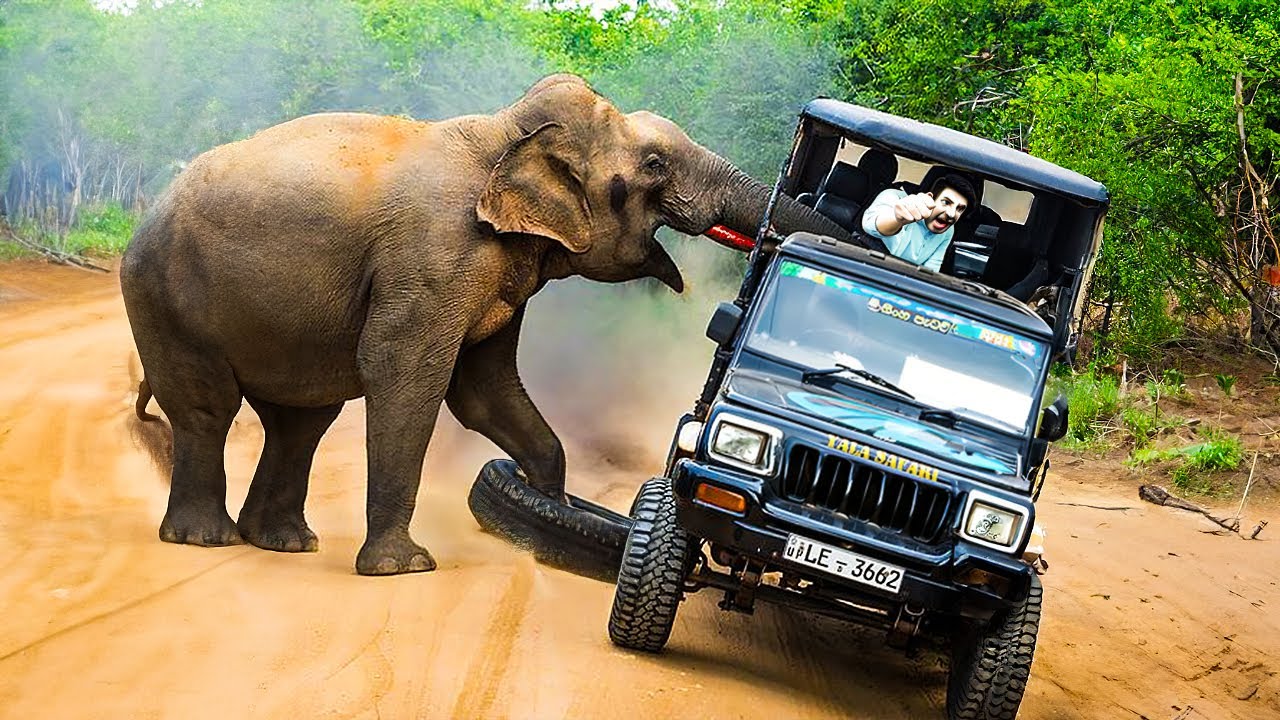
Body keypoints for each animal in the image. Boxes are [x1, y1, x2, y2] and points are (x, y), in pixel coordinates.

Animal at [120, 73, 862, 576]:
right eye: (653, 166)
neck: (507, 136)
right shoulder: (434, 255)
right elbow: (407, 373)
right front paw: (405, 568)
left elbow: (483, 390)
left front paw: (550, 498)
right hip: (164, 296)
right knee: (209, 409)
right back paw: (205, 539)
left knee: (300, 422)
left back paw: (285, 543)